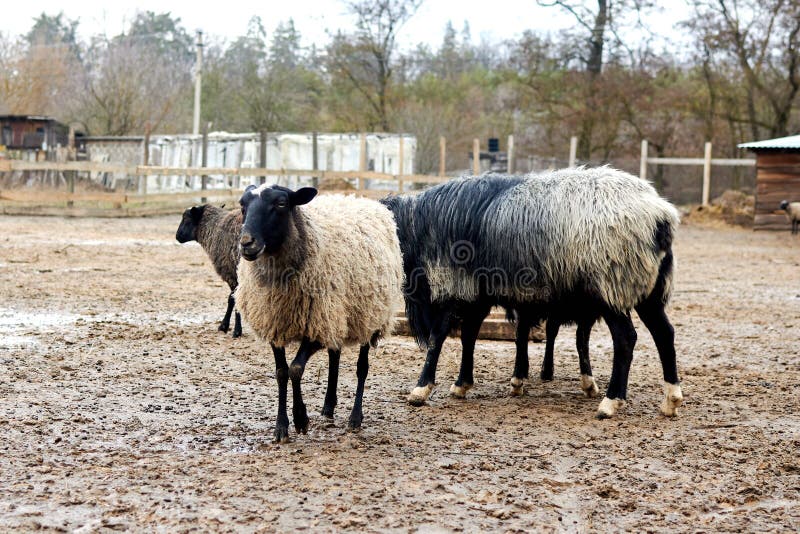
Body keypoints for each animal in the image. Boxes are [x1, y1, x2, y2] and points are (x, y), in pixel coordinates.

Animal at [176, 204, 244, 337]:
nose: (177, 236)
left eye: (186, 219)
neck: (214, 228)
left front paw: (232, 329)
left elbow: (232, 299)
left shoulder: (231, 272)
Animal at [234, 184, 404, 442]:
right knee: (335, 356)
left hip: (369, 315)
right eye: (243, 205)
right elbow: (281, 372)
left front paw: (301, 419)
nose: (246, 243)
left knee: (361, 367)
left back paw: (355, 417)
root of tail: (365, 201)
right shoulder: (276, 324)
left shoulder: (316, 327)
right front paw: (281, 426)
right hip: (338, 315)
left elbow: (295, 369)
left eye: (282, 203)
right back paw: (328, 406)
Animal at [382, 167, 682, 419]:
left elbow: (439, 337)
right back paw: (671, 399)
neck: (422, 230)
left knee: (626, 339)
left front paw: (421, 389)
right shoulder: (478, 293)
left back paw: (610, 402)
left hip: (611, 286)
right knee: (664, 333)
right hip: (648, 291)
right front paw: (462, 384)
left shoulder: (456, 287)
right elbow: (469, 336)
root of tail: (660, 215)